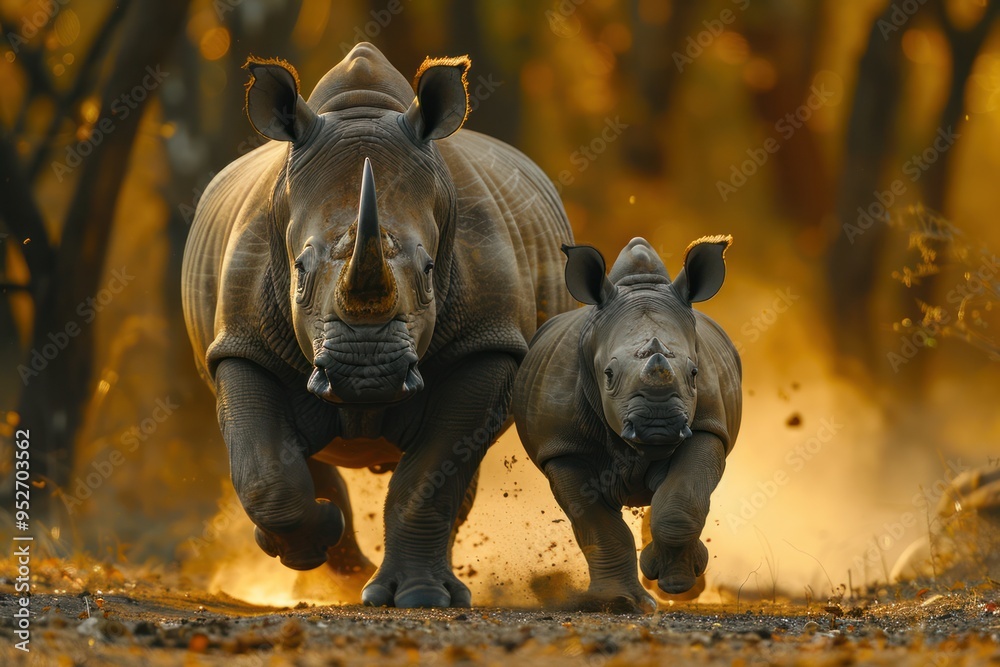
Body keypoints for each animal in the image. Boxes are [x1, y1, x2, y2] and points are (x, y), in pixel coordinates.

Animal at [181, 43, 573, 607]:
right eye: (300, 270)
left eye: (429, 270)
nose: (366, 375)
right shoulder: (241, 342)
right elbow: (262, 468)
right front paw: (314, 537)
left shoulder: (487, 343)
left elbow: (432, 475)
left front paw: (420, 598)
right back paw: (332, 559)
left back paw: (420, 586)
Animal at [512, 236, 741, 612]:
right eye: (608, 374)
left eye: (694, 373)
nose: (659, 425)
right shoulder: (563, 448)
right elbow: (598, 526)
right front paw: (620, 602)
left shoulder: (708, 426)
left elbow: (682, 500)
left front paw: (676, 583)